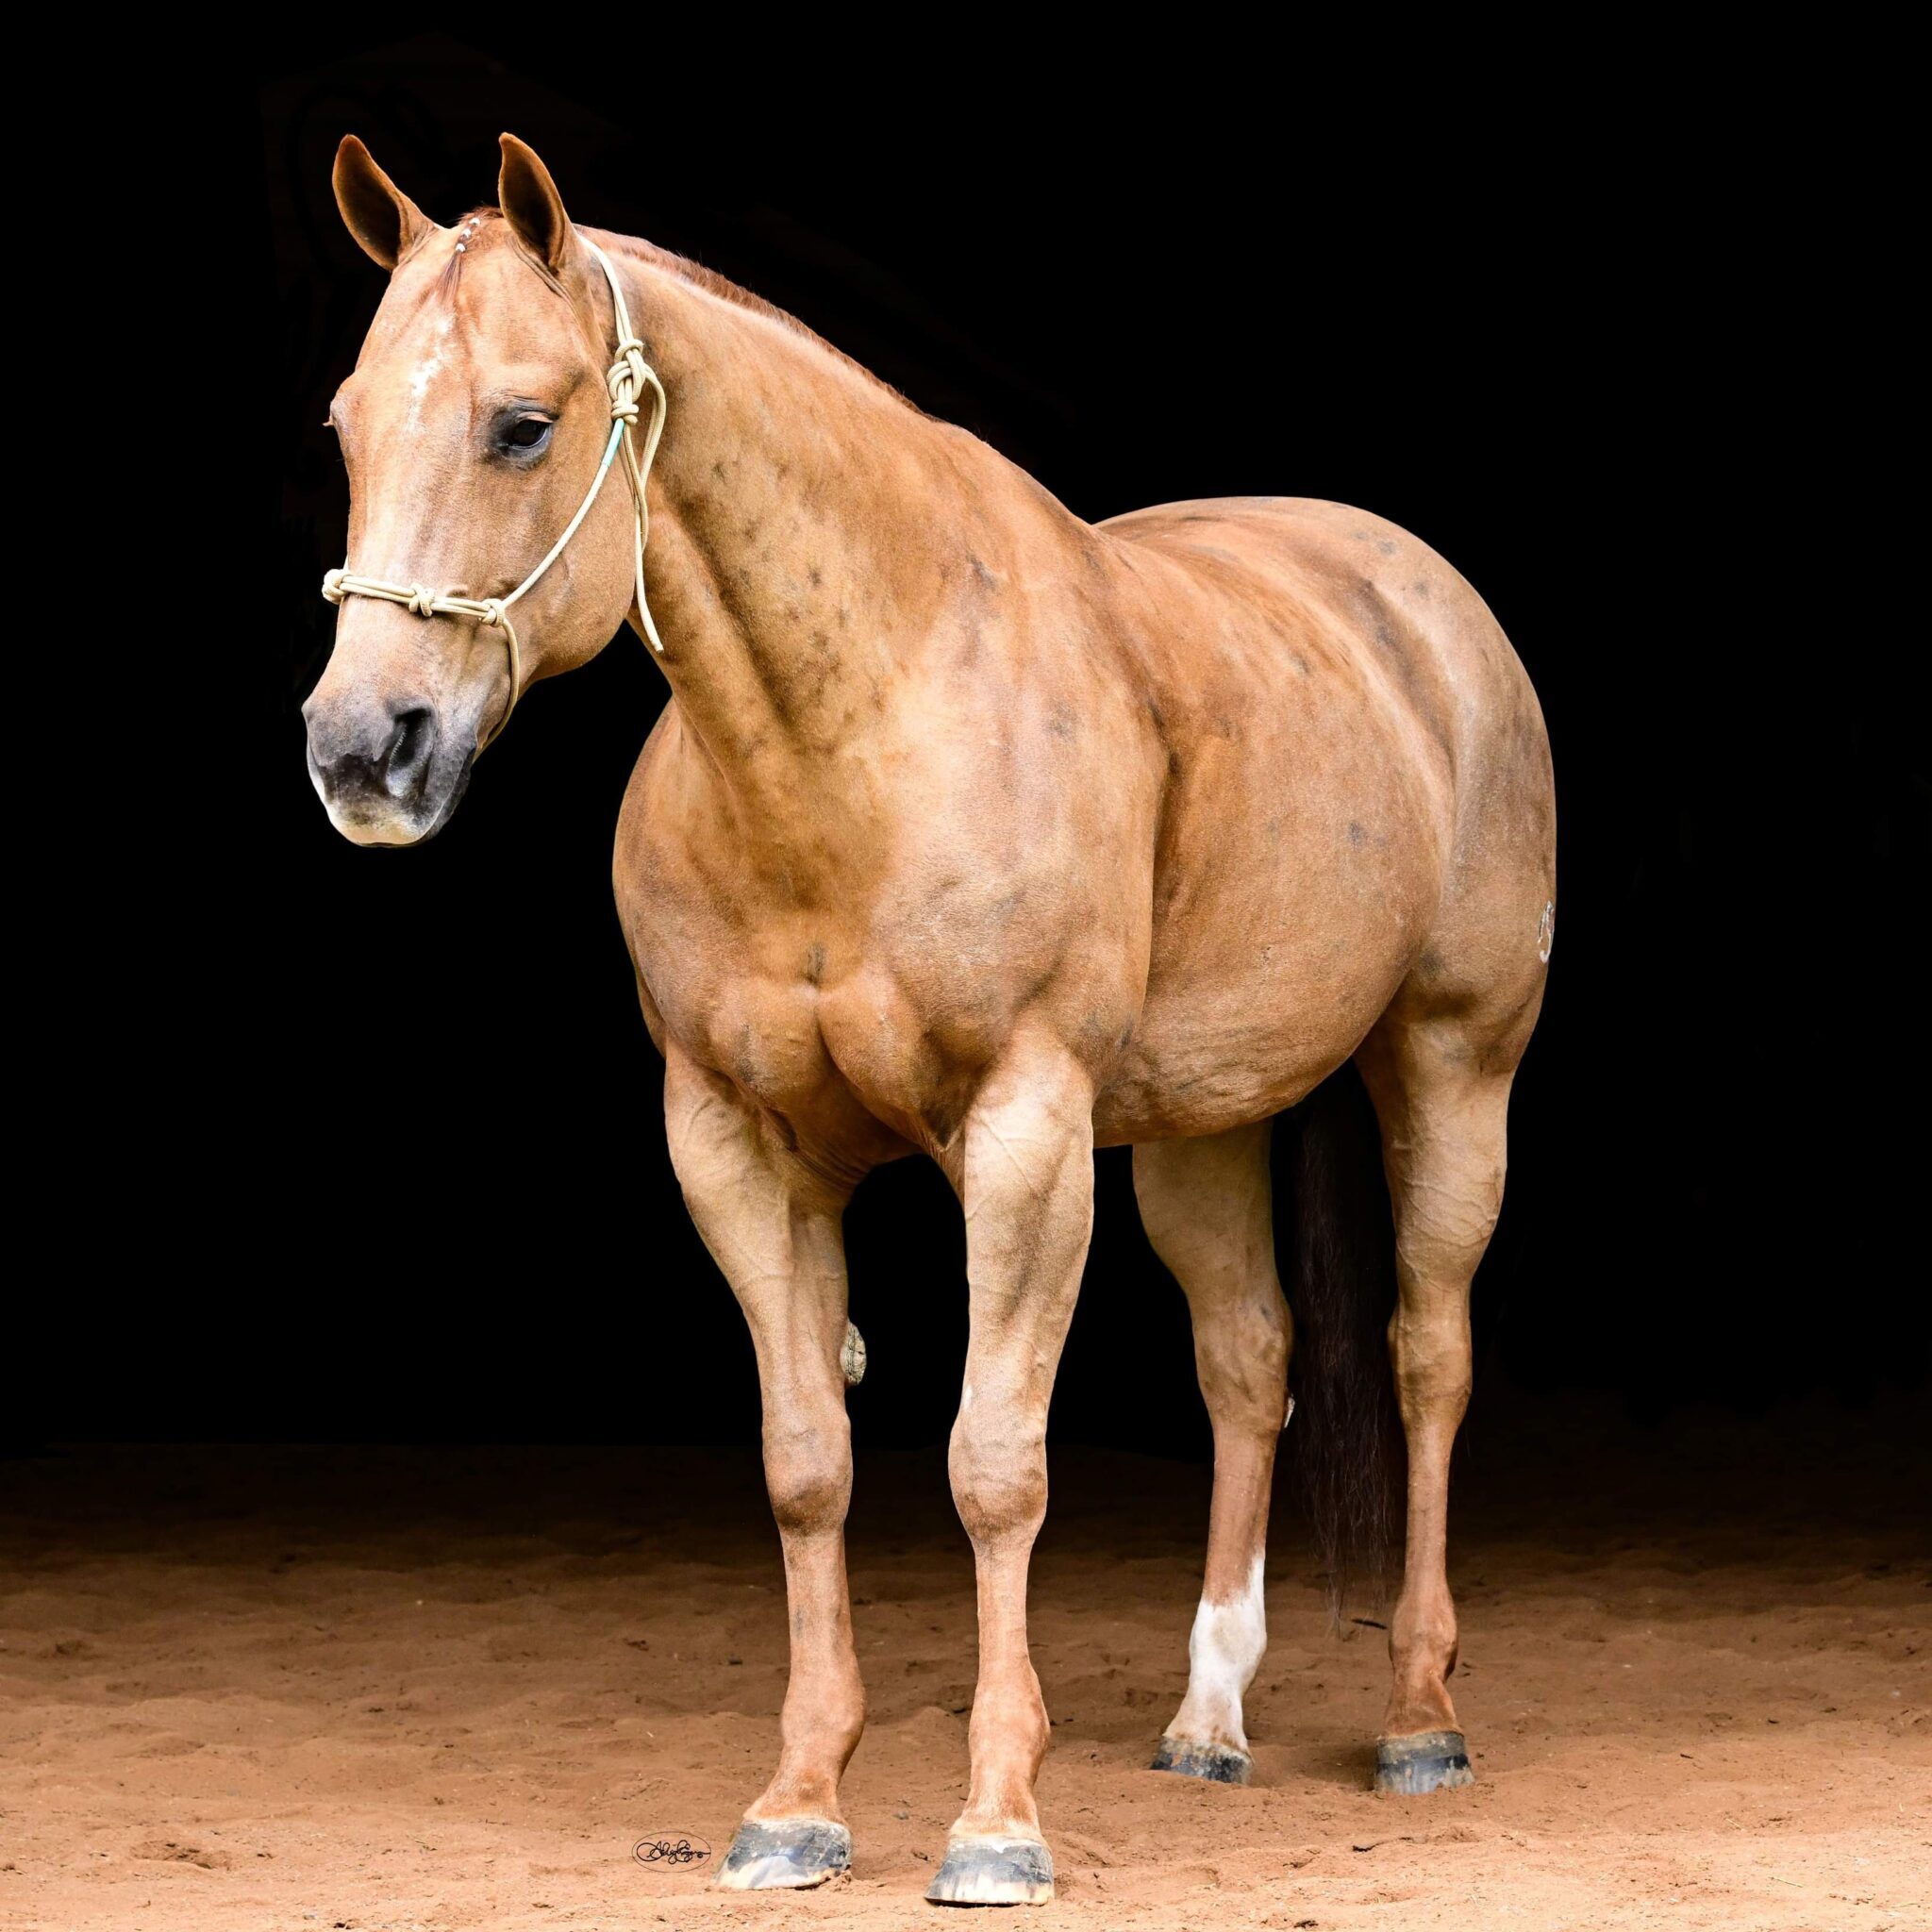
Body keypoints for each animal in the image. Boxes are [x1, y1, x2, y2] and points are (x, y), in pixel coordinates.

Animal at [303, 132, 1556, 1906]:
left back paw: (1420, 1720)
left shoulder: (1024, 1129)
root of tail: (1422, 600)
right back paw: (1207, 1720)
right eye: (344, 424)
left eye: (523, 424)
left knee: (1425, 1354)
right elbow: (807, 1462)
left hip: (1454, 1064)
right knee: (1247, 1362)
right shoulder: (731, 1145)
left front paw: (994, 1823)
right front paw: (795, 1803)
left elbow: (992, 1465)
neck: (859, 730)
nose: (364, 749)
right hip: (1202, 1120)